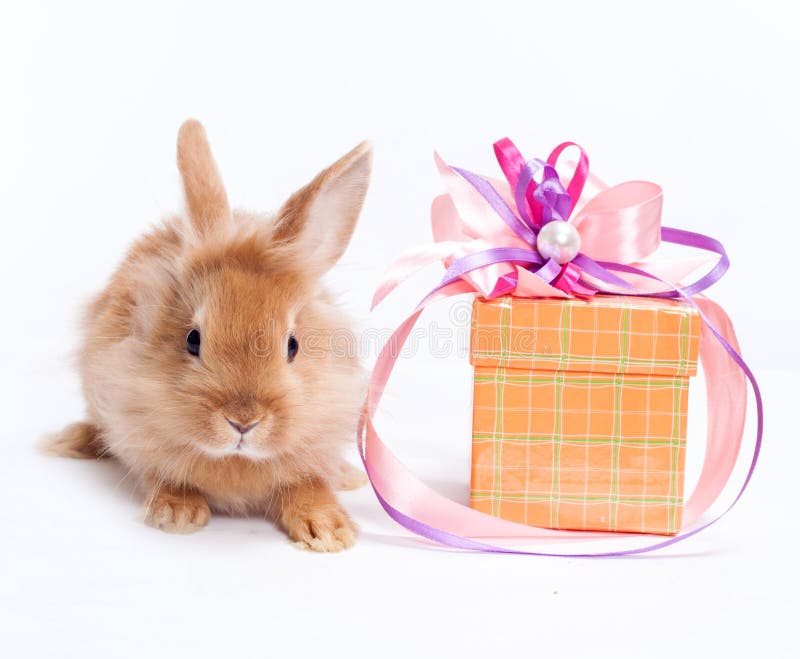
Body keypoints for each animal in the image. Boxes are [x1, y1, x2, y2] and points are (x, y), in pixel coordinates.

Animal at [46, 119, 372, 552]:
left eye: (293, 346)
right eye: (192, 339)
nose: (243, 421)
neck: (236, 459)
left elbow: (308, 483)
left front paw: (329, 531)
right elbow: (164, 474)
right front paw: (176, 515)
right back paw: (72, 441)